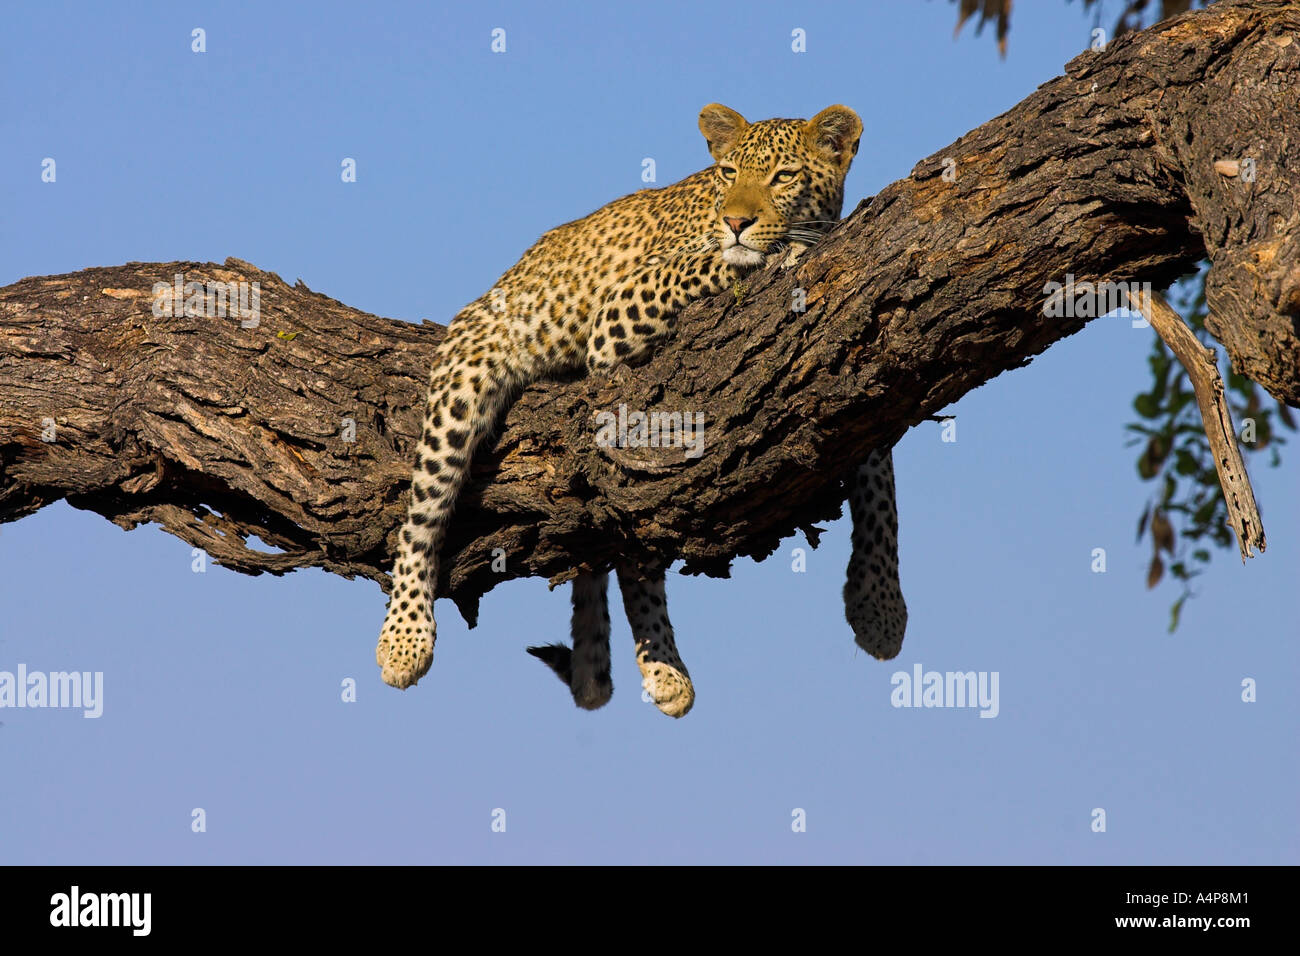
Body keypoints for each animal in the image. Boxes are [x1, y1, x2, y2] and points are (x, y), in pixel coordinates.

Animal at [375, 103, 908, 717]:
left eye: (784, 177)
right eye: (728, 173)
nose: (737, 221)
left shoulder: (862, 375)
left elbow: (881, 486)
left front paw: (879, 606)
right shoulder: (617, 313)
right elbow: (715, 262)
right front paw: (770, 250)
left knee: (631, 541)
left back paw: (662, 668)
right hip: (468, 372)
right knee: (424, 516)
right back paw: (405, 640)